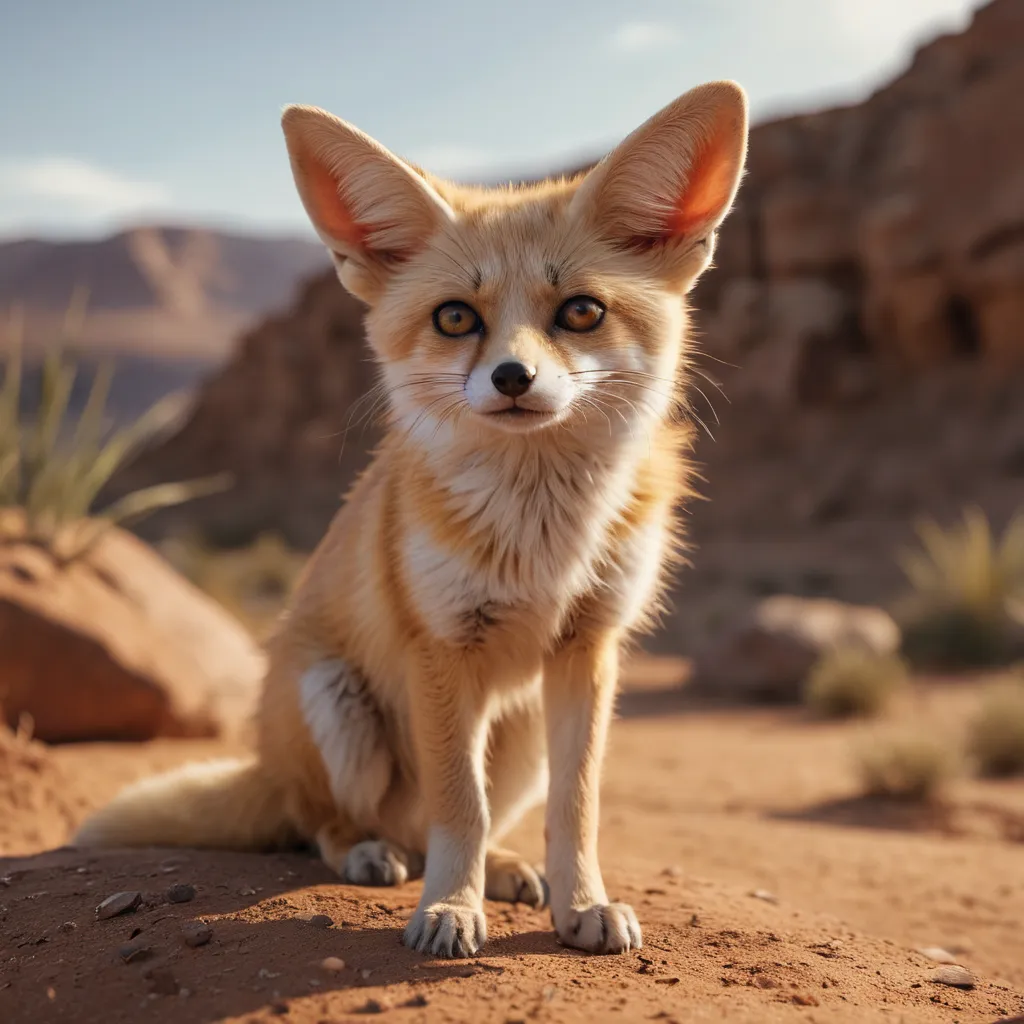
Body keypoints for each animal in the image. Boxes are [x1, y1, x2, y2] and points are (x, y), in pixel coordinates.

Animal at [75, 80, 748, 958]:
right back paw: (371, 854)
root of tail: (266, 762)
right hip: (337, 704)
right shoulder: (441, 646)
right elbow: (458, 805)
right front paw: (451, 910)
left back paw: (503, 869)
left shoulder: (588, 648)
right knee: (330, 824)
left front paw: (582, 904)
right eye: (455, 318)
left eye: (581, 312)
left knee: (442, 822)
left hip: (519, 736)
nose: (512, 377)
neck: (542, 539)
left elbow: (575, 808)